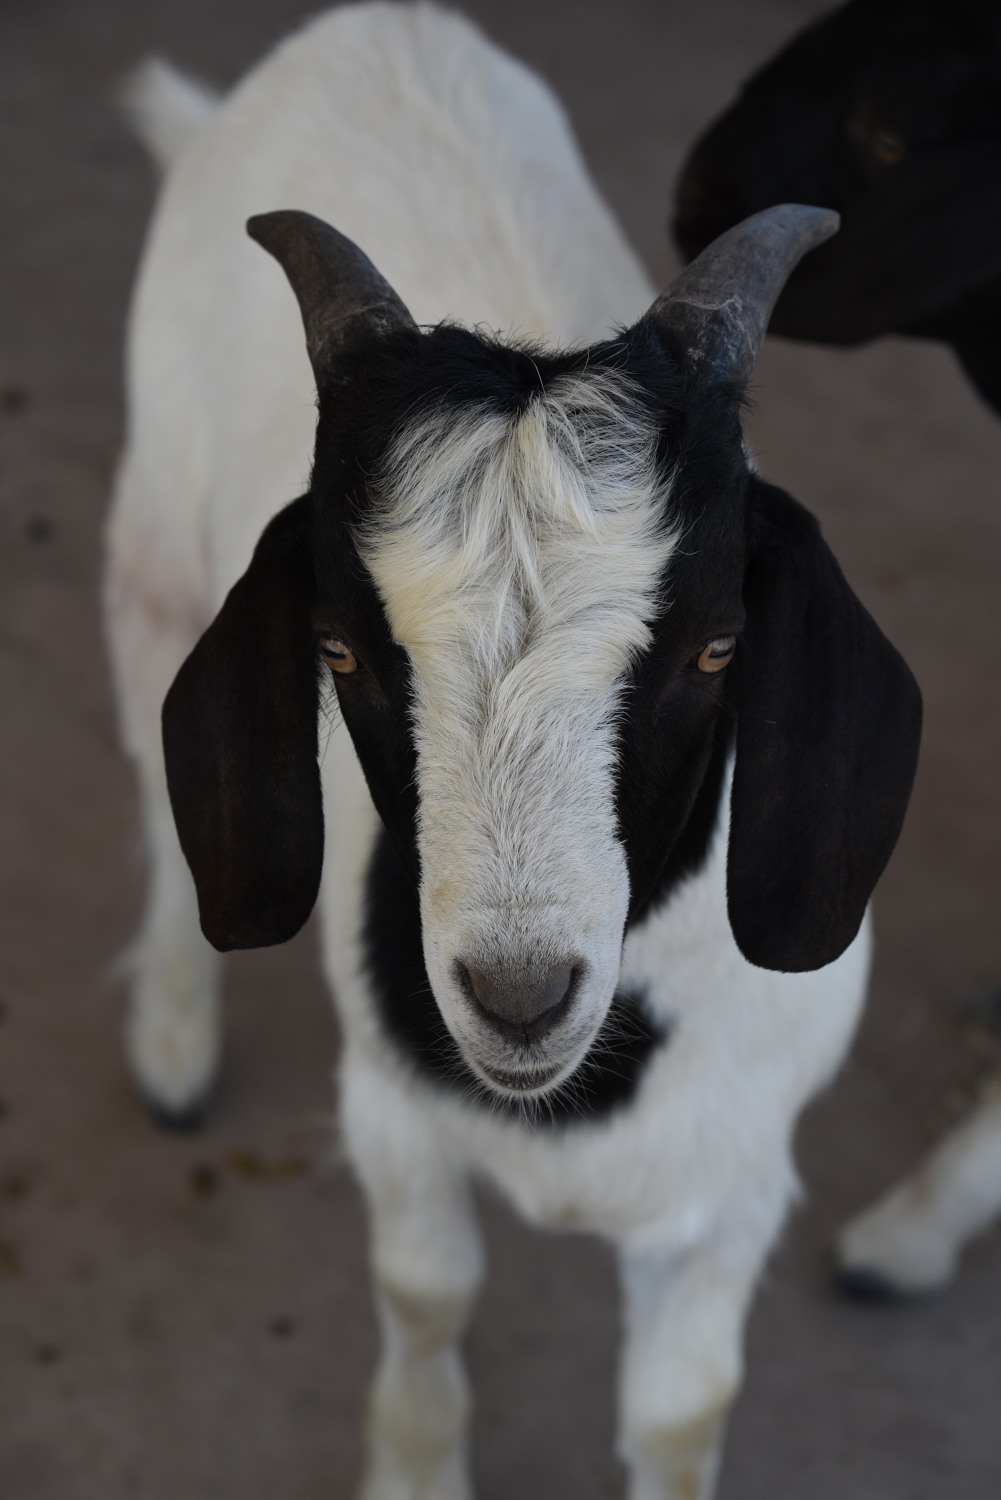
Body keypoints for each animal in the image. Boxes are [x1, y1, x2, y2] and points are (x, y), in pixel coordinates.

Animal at [107, 5, 921, 1495]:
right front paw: (415, 1466)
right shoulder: (391, 1116)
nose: (519, 996)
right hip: (149, 549)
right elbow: (427, 1296)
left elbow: (682, 1410)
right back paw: (175, 1044)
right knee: (155, 784)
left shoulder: (729, 1193)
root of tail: (367, 28)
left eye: (716, 648)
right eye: (341, 652)